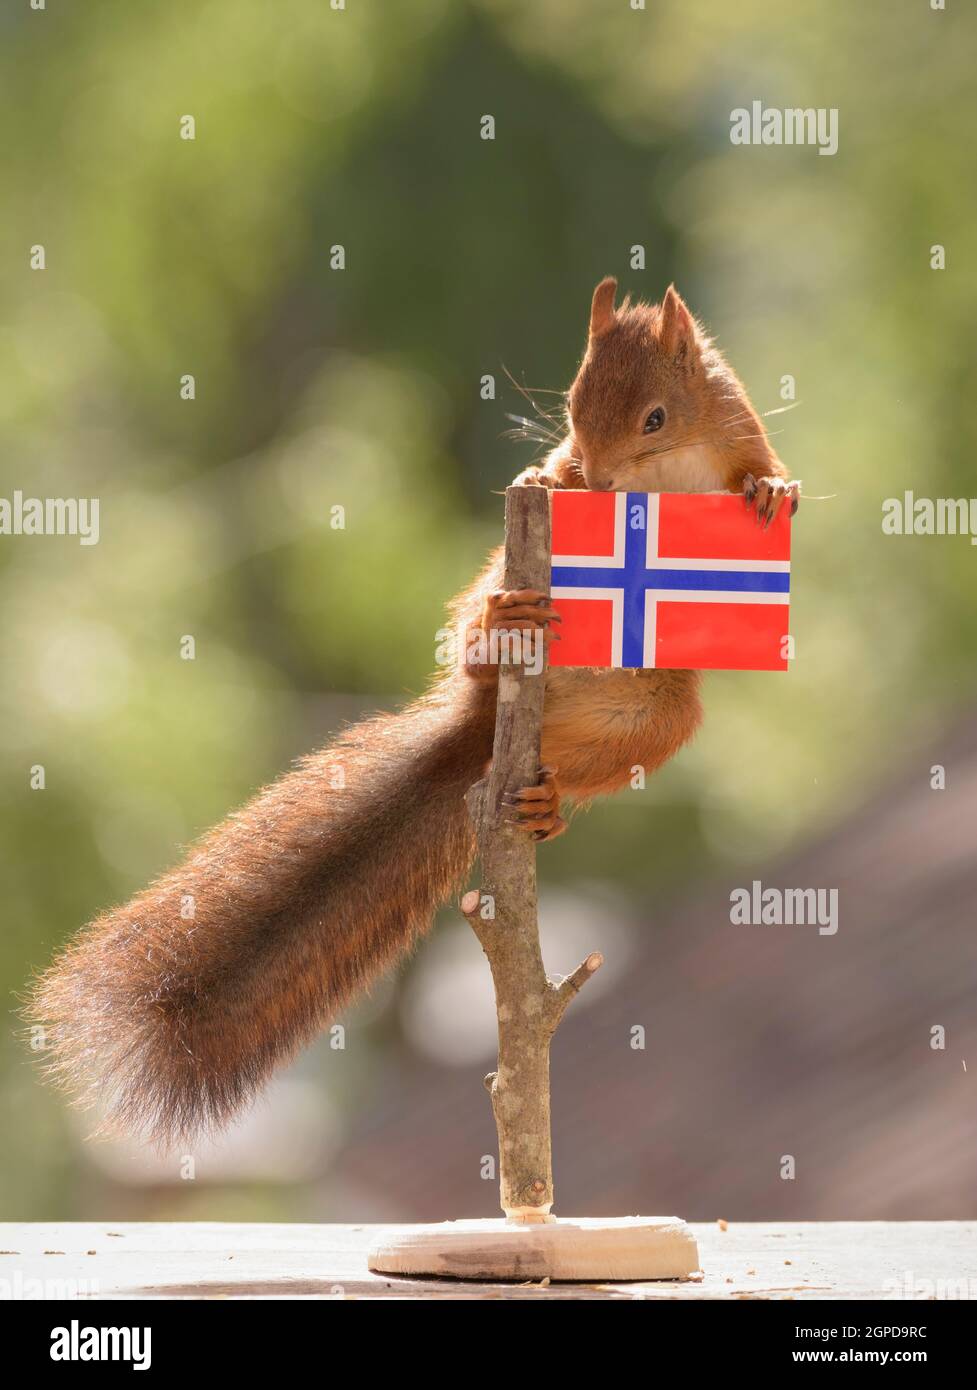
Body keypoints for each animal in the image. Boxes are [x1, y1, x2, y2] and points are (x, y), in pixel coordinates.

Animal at [28, 277, 798, 1147]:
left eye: (656, 417)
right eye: (571, 404)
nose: (596, 479)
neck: (659, 475)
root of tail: (478, 738)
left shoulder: (737, 426)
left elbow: (764, 471)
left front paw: (773, 493)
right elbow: (546, 474)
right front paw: (547, 476)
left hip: (659, 711)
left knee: (583, 763)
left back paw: (545, 805)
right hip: (493, 594)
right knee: (478, 645)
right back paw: (502, 629)